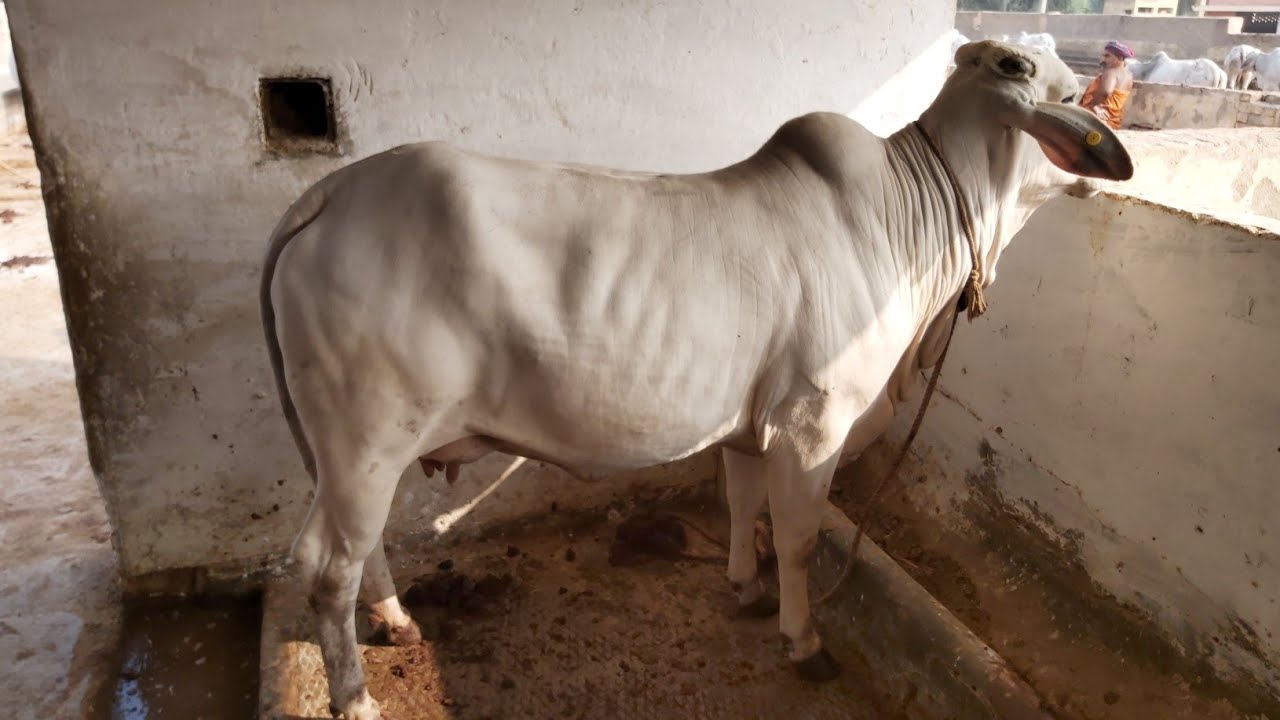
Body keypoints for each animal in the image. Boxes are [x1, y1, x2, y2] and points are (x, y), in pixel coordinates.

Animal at [260, 40, 1132, 719]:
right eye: (1058, 90)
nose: (1109, 158)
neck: (907, 220)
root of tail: (332, 191)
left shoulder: (751, 427)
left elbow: (744, 505)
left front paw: (744, 590)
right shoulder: (815, 424)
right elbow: (799, 537)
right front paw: (803, 640)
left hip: (349, 453)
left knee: (354, 548)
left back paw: (397, 623)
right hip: (368, 437)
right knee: (325, 566)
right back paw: (355, 697)